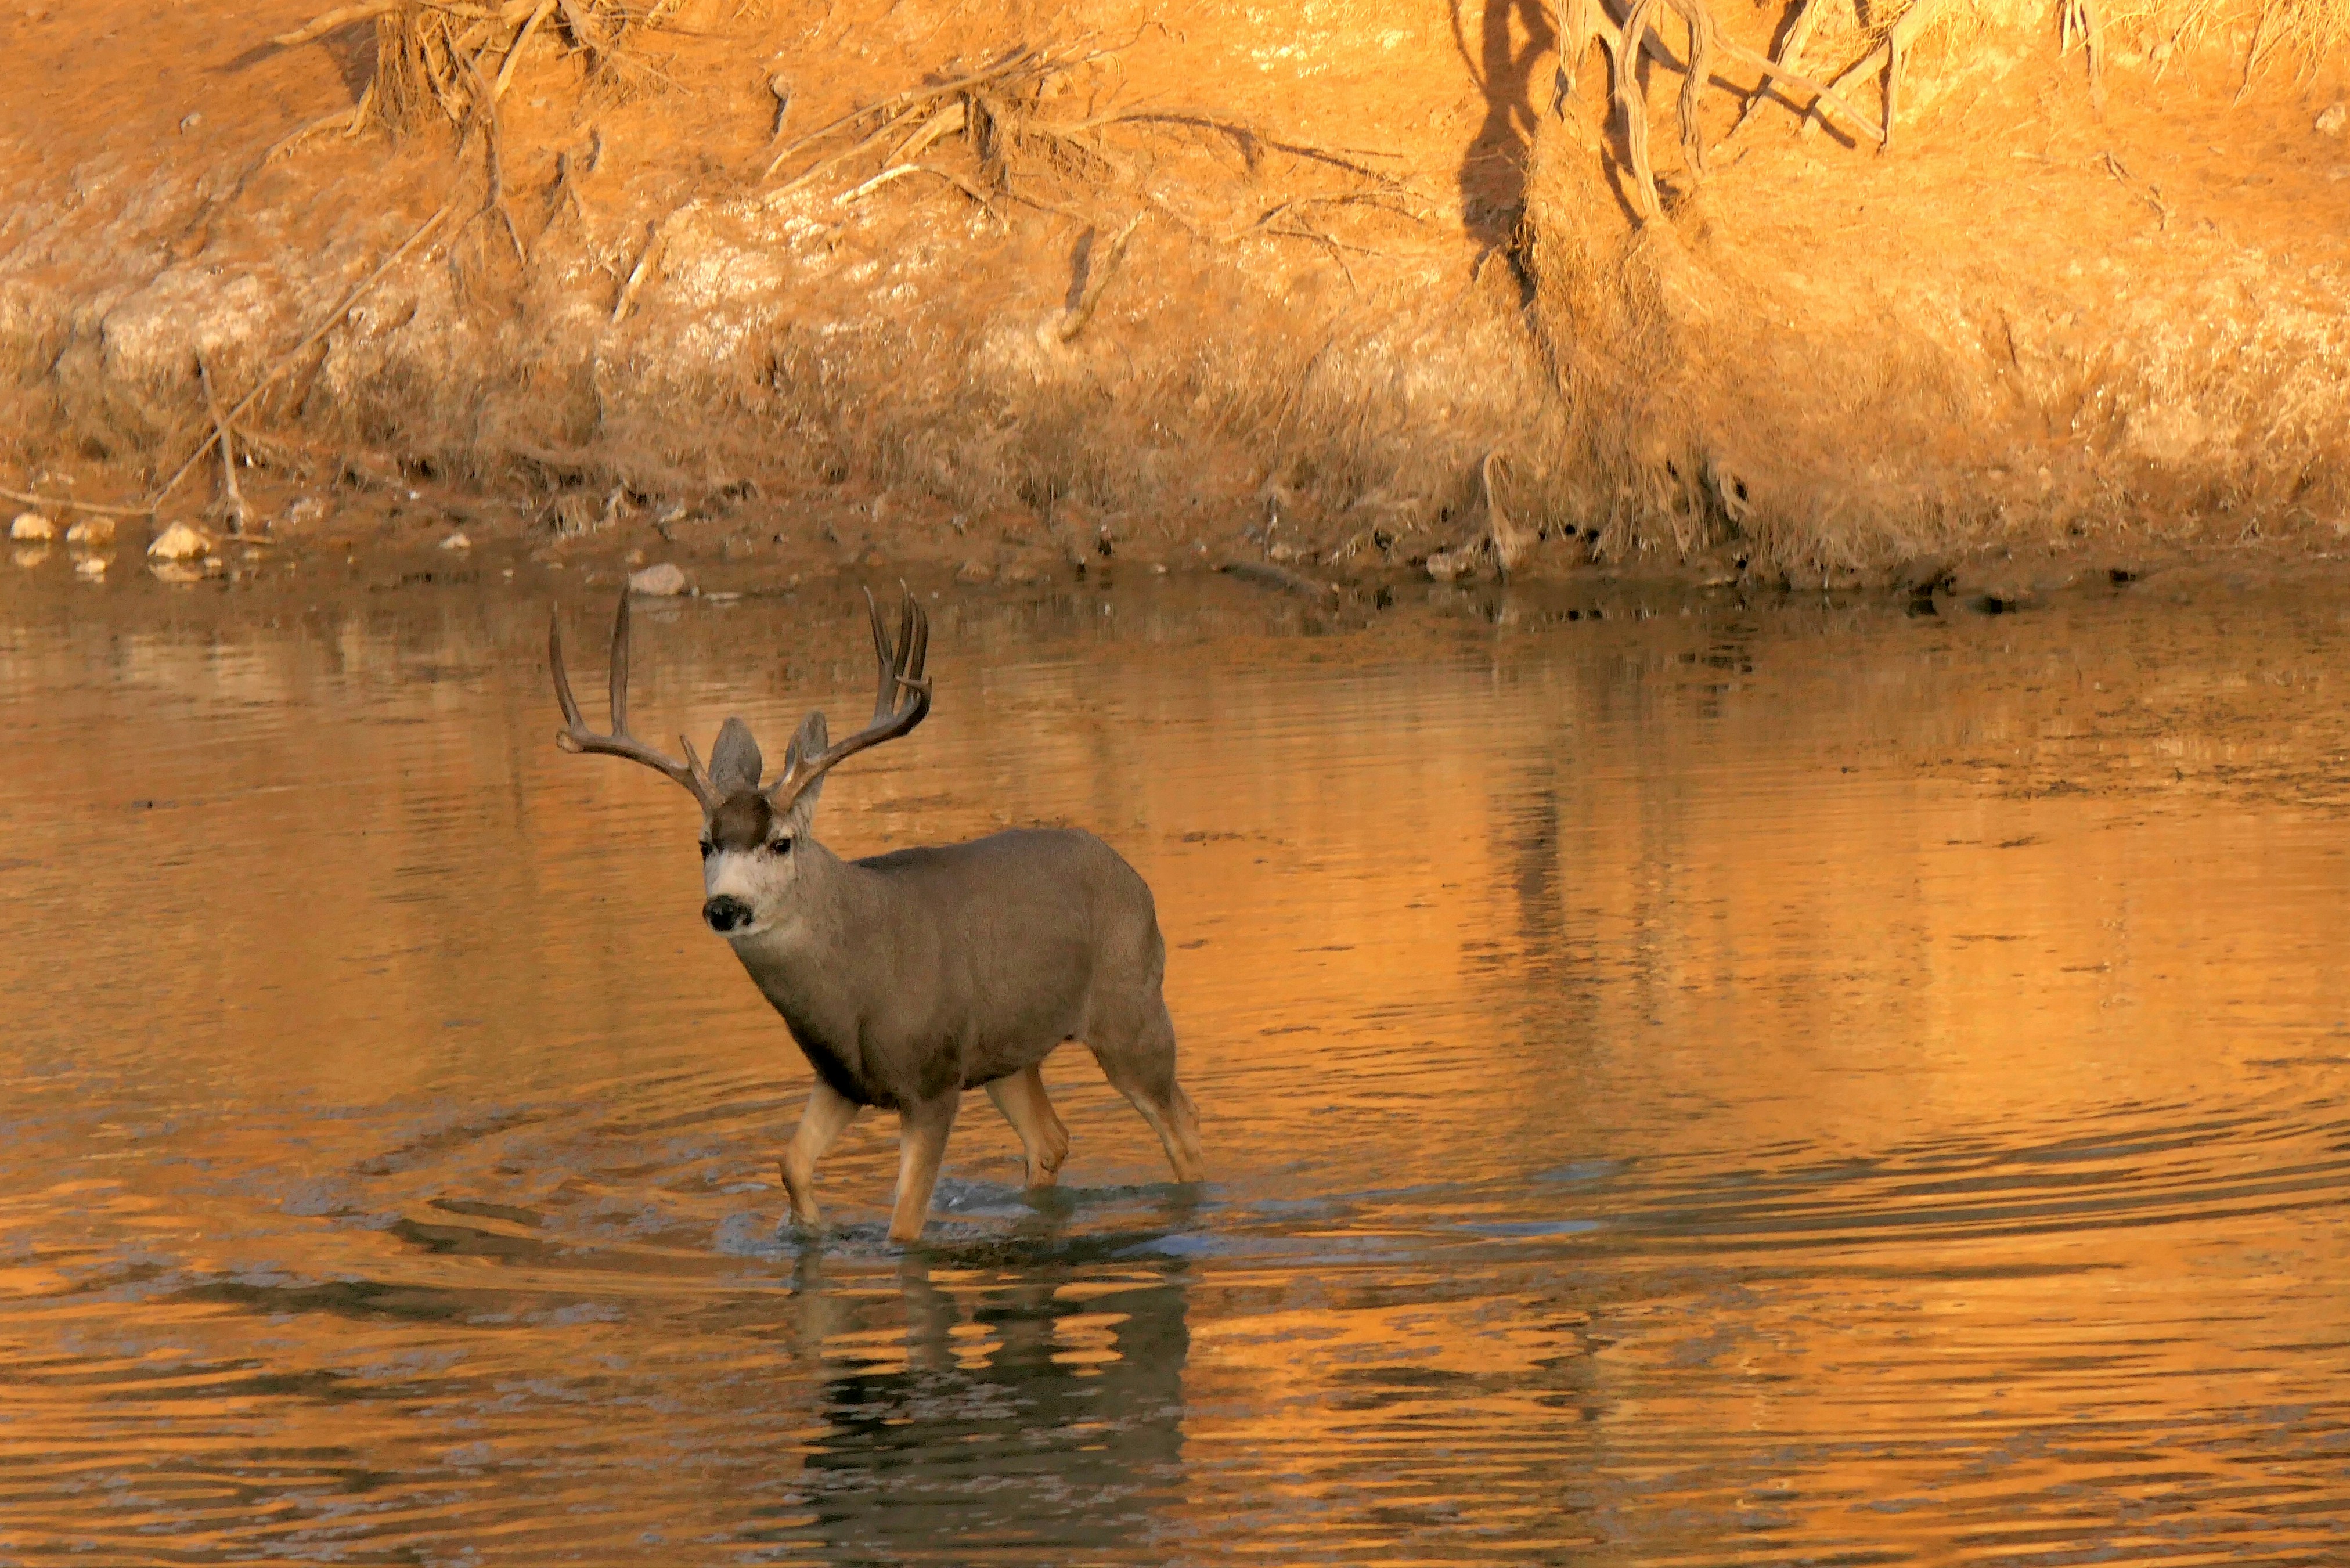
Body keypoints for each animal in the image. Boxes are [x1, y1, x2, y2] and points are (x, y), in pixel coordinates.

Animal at [548, 587, 1206, 1243]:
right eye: (704, 844)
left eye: (782, 842)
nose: (724, 907)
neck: (857, 980)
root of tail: (1131, 874)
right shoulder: (840, 1077)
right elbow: (790, 1163)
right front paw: (808, 1232)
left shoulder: (932, 1081)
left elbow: (905, 1223)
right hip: (1006, 1050)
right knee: (1051, 1140)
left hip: (1130, 1007)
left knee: (1183, 1123)